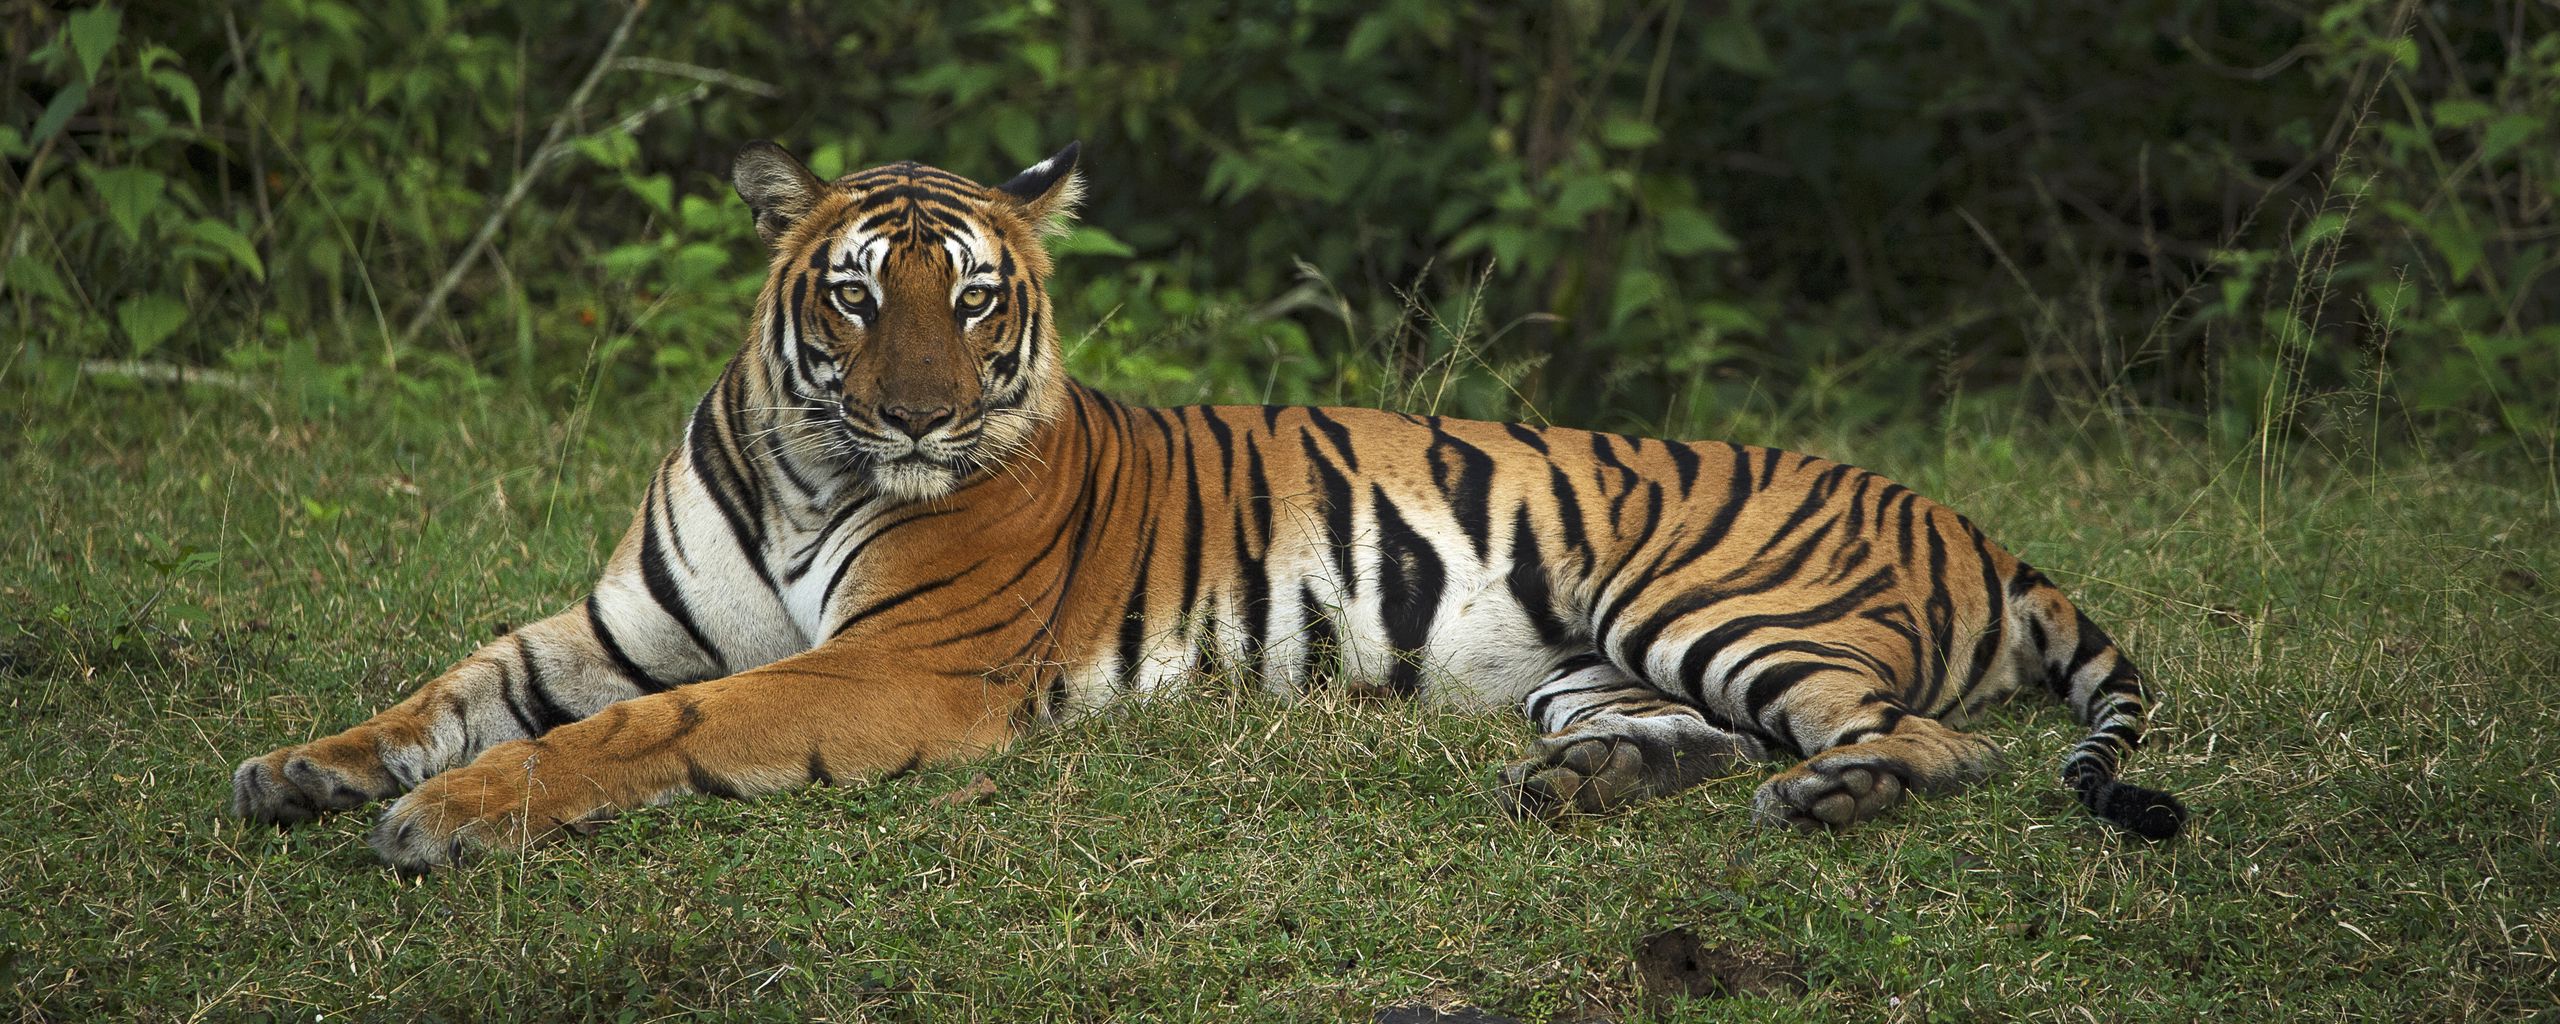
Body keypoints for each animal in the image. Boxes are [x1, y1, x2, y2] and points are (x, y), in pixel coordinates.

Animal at [228, 141, 2188, 873]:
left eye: (980, 300)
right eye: (856, 298)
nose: (924, 413)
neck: (811, 458)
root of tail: (1971, 521)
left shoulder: (896, 670)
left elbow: (656, 729)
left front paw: (443, 820)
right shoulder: (614, 620)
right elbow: (456, 685)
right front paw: (305, 770)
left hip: (1718, 601)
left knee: (1939, 738)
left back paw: (1836, 791)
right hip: (1591, 660)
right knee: (1686, 734)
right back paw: (1586, 786)